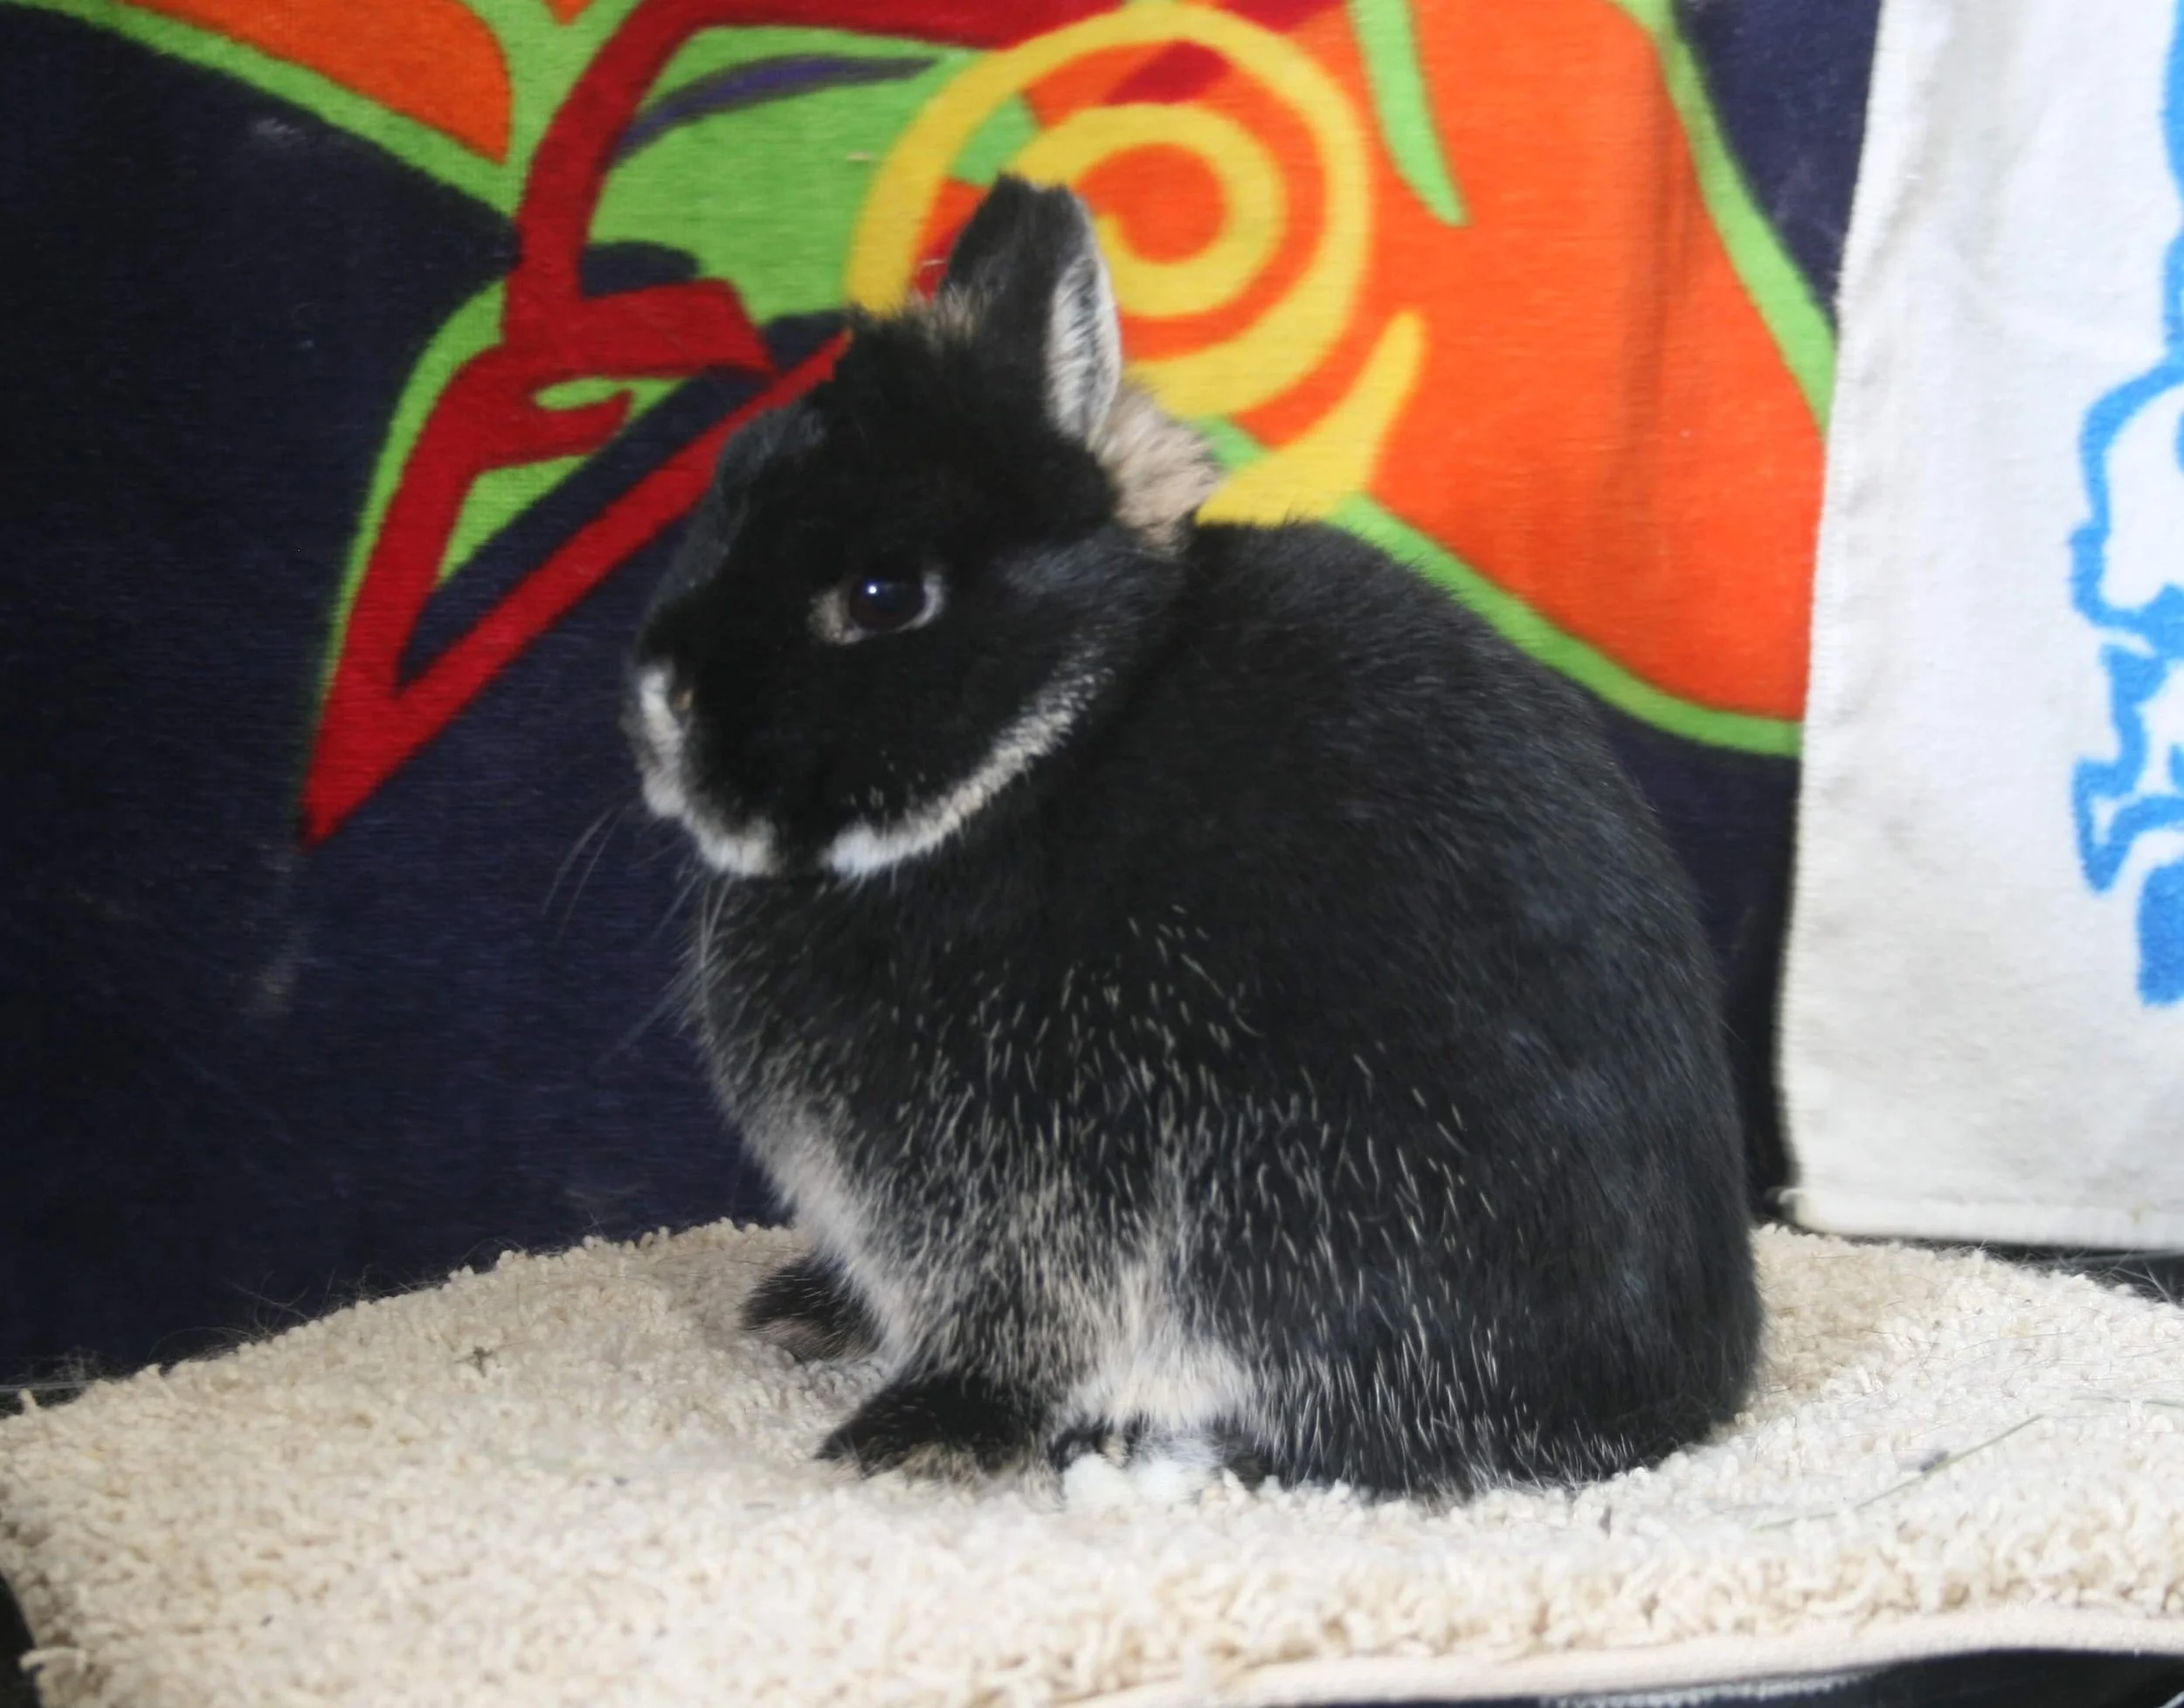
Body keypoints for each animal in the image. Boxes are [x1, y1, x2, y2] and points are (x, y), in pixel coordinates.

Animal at [625, 176, 1761, 1498]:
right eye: (735, 479)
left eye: (881, 595)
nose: (662, 701)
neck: (1050, 738)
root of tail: (1675, 1398)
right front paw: (810, 1315)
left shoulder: (1034, 1181)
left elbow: (1019, 1319)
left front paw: (916, 1434)